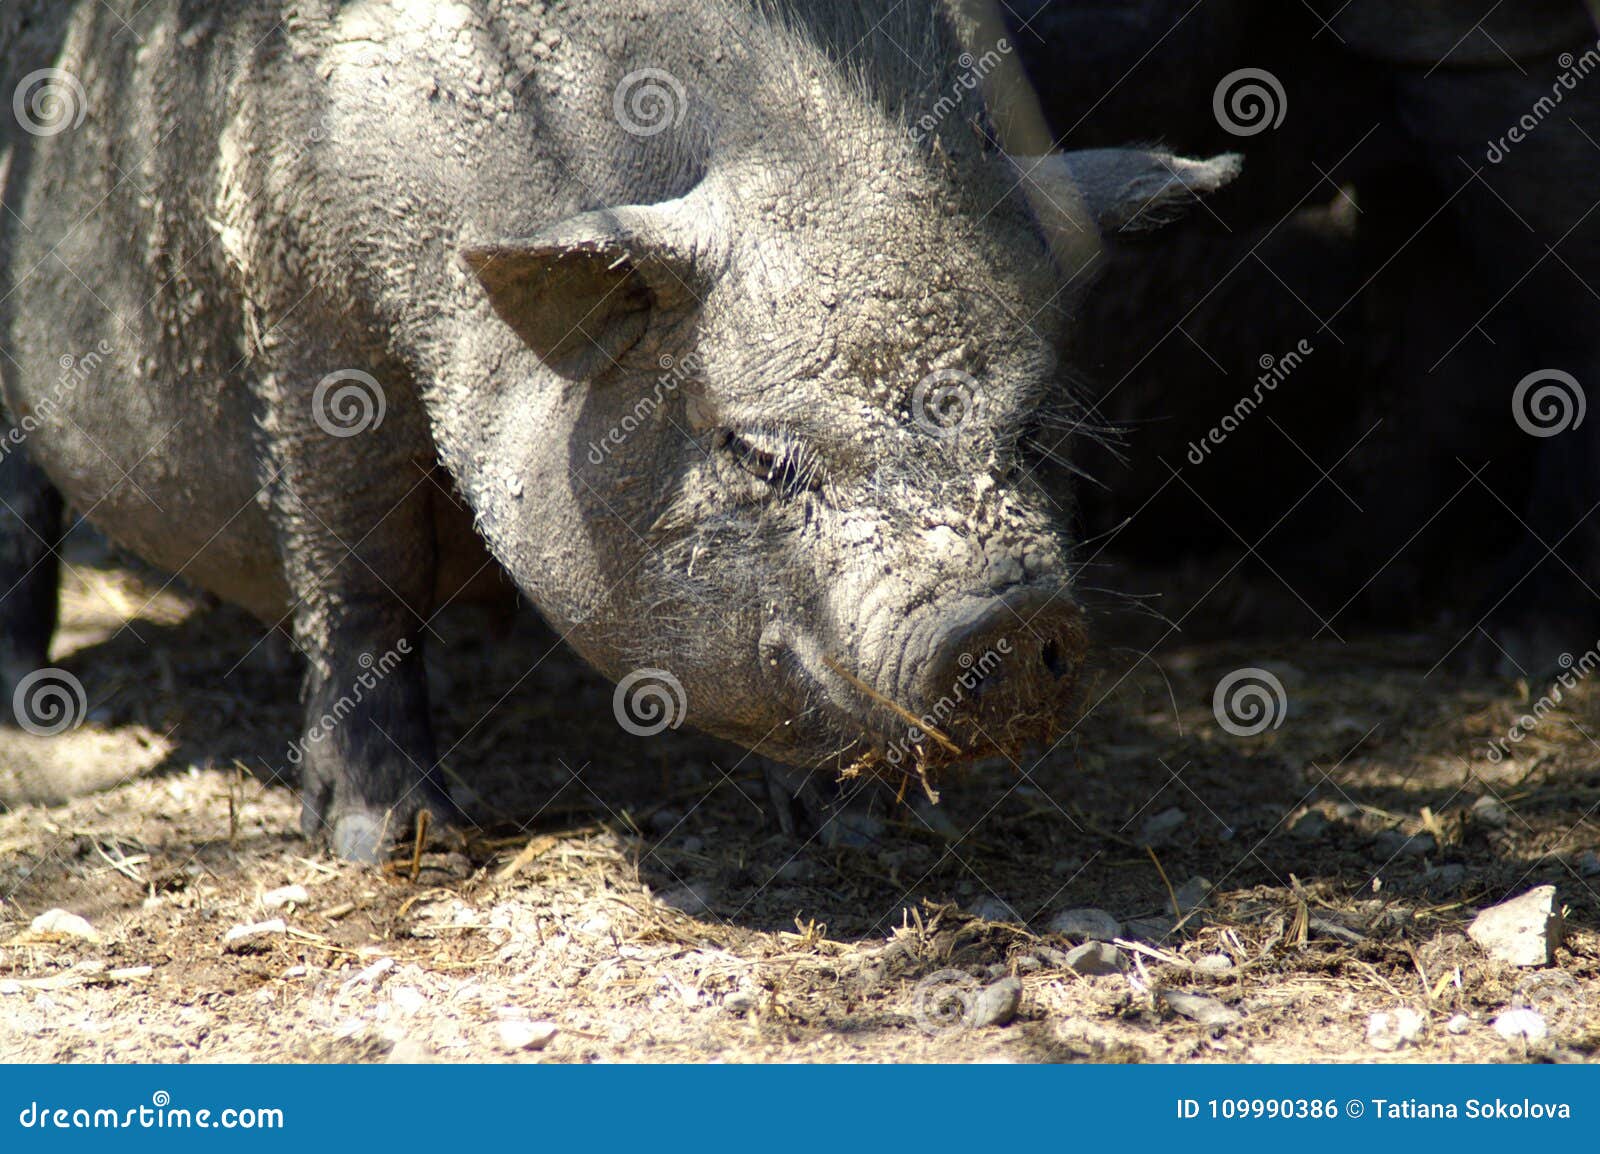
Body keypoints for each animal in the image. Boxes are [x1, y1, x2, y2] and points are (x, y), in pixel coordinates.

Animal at [0, 0, 1237, 858]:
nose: (1010, 619)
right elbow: (361, 569)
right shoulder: (305, 298)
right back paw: (33, 707)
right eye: (762, 452)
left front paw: (866, 834)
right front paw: (401, 843)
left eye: (1029, 430)